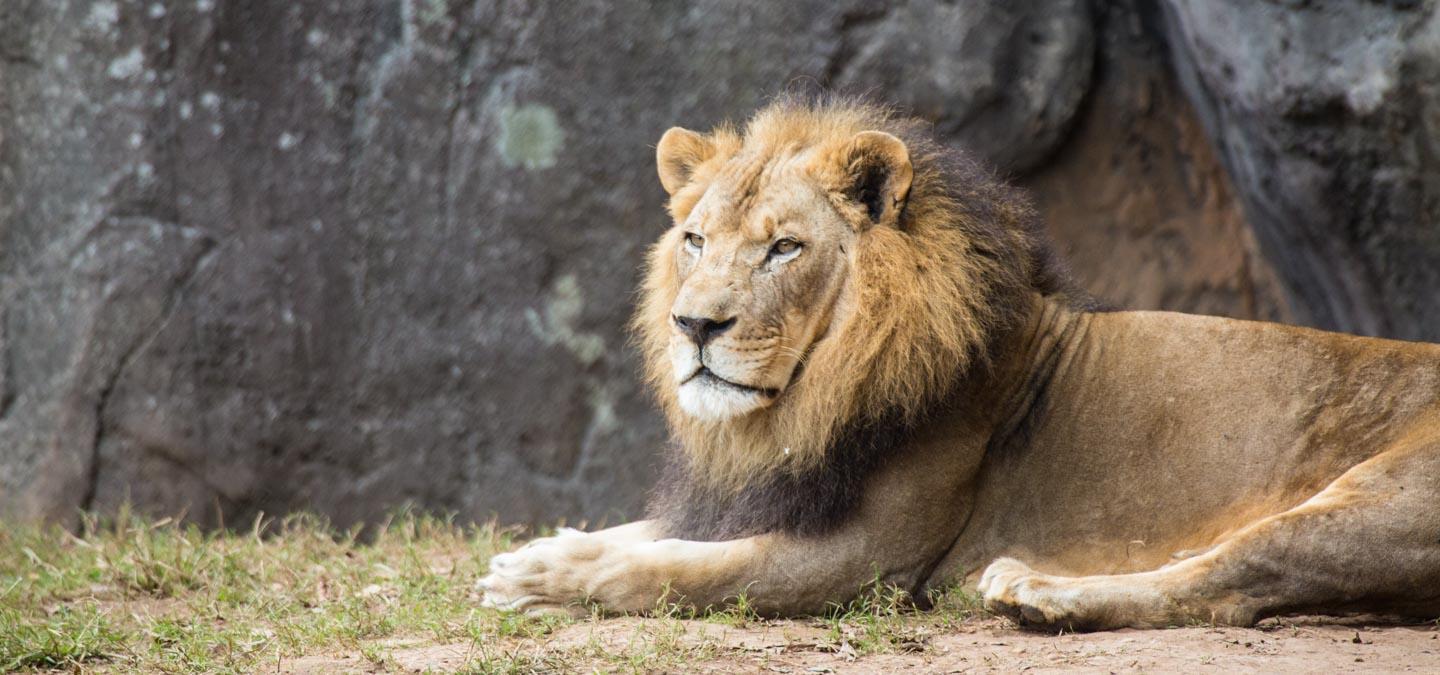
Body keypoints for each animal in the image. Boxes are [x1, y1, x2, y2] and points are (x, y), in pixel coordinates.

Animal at [478, 97, 1440, 630]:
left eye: (785, 248)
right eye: (694, 240)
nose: (694, 324)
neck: (802, 402)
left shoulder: (866, 559)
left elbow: (679, 567)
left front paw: (547, 580)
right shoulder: (763, 495)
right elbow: (647, 532)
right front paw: (533, 553)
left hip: (1383, 499)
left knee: (1227, 582)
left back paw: (1039, 591)